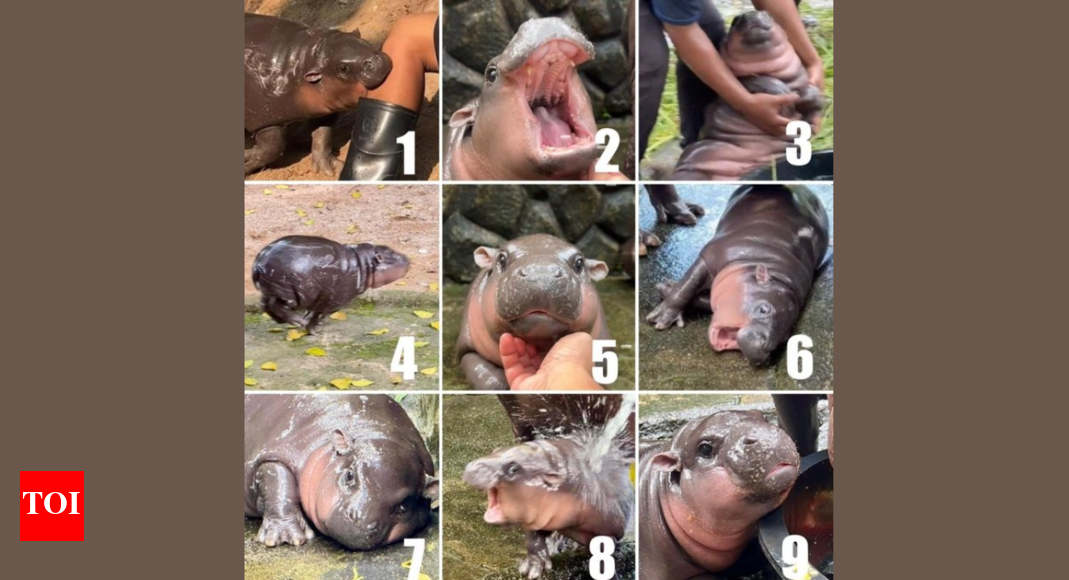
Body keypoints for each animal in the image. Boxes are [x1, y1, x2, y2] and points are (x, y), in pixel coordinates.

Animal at [244, 13, 393, 175]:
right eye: (343, 68)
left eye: (366, 42)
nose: (377, 61)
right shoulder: (265, 118)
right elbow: (272, 149)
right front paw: (246, 160)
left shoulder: (323, 110)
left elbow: (323, 135)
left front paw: (332, 168)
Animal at [244, 394, 438, 550]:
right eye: (349, 475)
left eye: (405, 505)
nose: (361, 520)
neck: (372, 430)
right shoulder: (284, 448)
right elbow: (277, 479)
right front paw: (286, 537)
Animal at [252, 235, 409, 333]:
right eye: (393, 256)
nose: (407, 258)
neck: (364, 263)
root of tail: (259, 262)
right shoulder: (334, 301)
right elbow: (318, 315)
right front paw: (313, 329)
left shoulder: (320, 299)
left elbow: (312, 313)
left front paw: (311, 324)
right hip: (291, 294)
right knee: (274, 304)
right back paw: (297, 321)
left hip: (271, 290)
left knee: (265, 305)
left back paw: (284, 321)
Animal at [647, 184, 829, 366]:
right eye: (764, 309)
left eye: (784, 338)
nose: (763, 351)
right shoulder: (712, 256)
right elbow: (685, 288)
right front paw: (661, 319)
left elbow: (704, 301)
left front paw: (666, 287)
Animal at [672, 11, 824, 181]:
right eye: (735, 21)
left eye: (767, 14)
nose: (751, 14)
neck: (768, 67)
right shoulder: (737, 84)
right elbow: (752, 80)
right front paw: (783, 91)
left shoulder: (802, 79)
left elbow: (812, 91)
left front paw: (807, 98)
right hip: (698, 151)